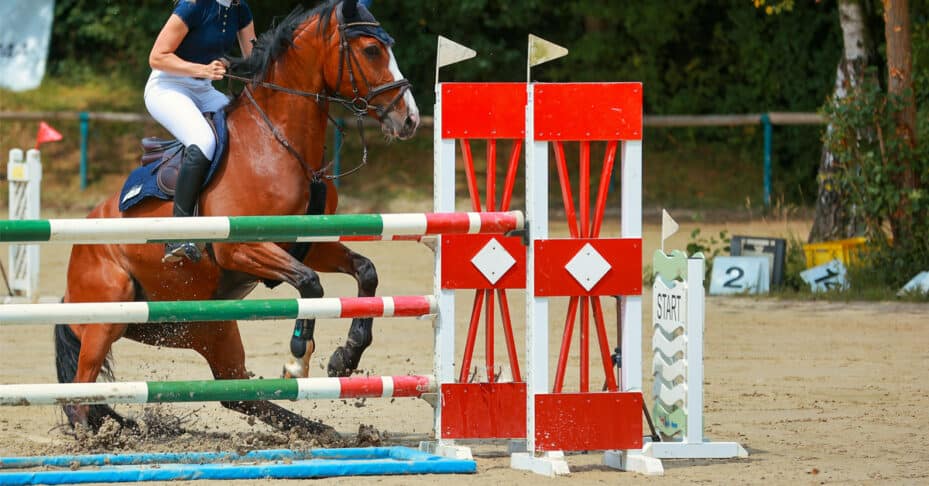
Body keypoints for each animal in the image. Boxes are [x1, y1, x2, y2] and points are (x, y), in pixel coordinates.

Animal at [54, 0, 420, 438]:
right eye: (371, 50)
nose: (410, 120)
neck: (278, 142)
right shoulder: (242, 248)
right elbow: (311, 285)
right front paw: (298, 358)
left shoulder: (307, 244)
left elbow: (366, 272)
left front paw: (344, 358)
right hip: (109, 312)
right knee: (79, 388)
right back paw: (95, 438)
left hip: (211, 325)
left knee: (236, 391)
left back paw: (313, 429)